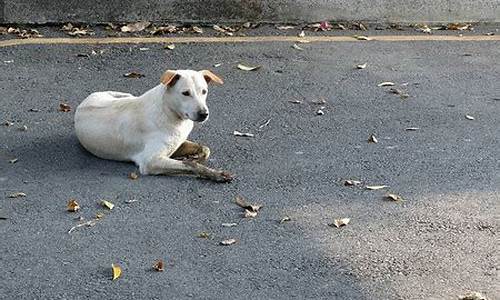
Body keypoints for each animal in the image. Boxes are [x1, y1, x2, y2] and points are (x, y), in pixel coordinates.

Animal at [73, 69, 232, 183]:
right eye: (185, 93)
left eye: (204, 91)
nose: (204, 114)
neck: (169, 111)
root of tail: (84, 101)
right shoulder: (150, 161)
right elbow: (190, 165)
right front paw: (215, 173)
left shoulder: (178, 143)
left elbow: (204, 149)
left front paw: (195, 157)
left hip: (125, 95)